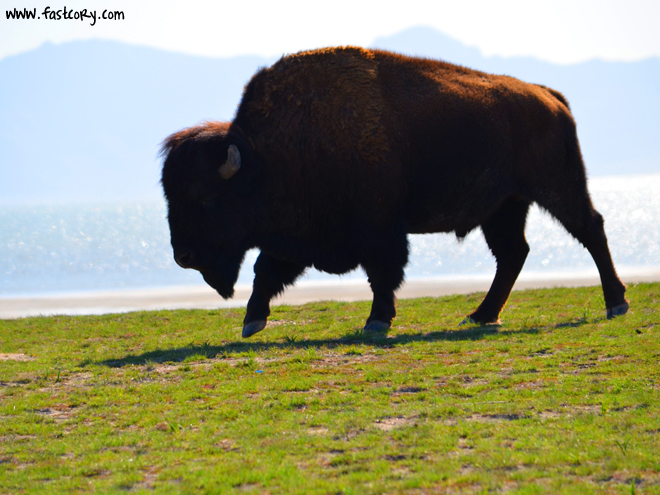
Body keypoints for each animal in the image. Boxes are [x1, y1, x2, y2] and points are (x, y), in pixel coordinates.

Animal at [161, 46, 629, 338]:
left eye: (205, 199)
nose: (183, 256)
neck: (267, 156)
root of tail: (549, 96)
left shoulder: (379, 230)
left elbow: (382, 274)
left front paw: (377, 323)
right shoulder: (294, 235)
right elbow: (266, 271)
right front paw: (251, 322)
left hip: (557, 188)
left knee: (590, 229)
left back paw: (616, 304)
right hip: (505, 207)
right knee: (514, 254)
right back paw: (480, 316)